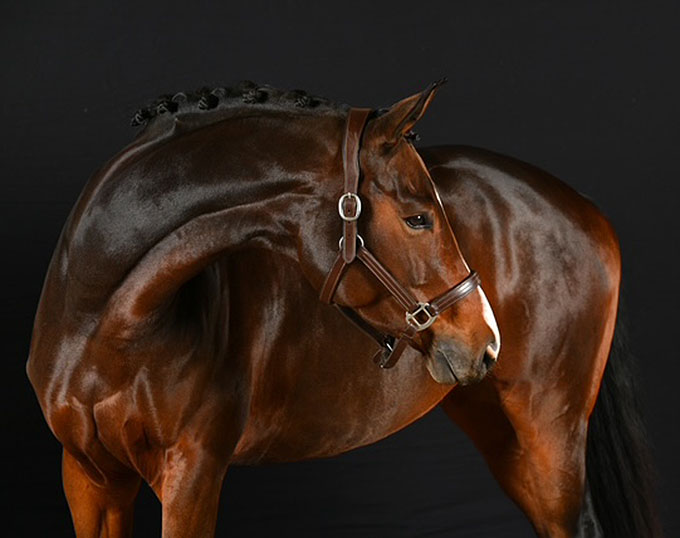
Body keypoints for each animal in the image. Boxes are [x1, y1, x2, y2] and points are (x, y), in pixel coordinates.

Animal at [25, 81, 658, 537]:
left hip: (551, 435)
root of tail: (585, 206)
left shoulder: (192, 475)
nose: (486, 339)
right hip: (503, 435)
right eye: (418, 218)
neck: (106, 322)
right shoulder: (90, 479)